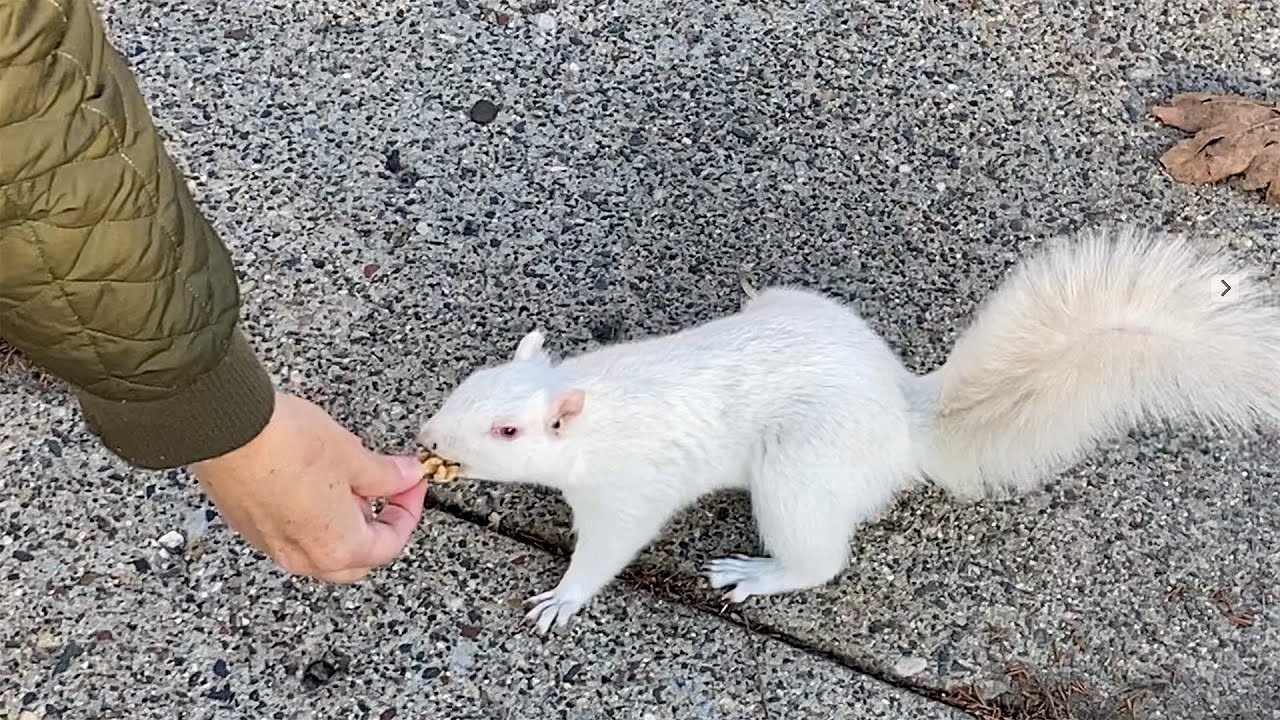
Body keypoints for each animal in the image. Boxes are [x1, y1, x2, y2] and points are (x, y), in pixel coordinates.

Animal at [418, 226, 1280, 635]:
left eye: (506, 431)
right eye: (464, 388)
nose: (428, 441)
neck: (596, 405)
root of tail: (900, 419)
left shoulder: (631, 488)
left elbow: (607, 549)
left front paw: (563, 599)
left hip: (800, 473)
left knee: (819, 559)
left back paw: (760, 574)